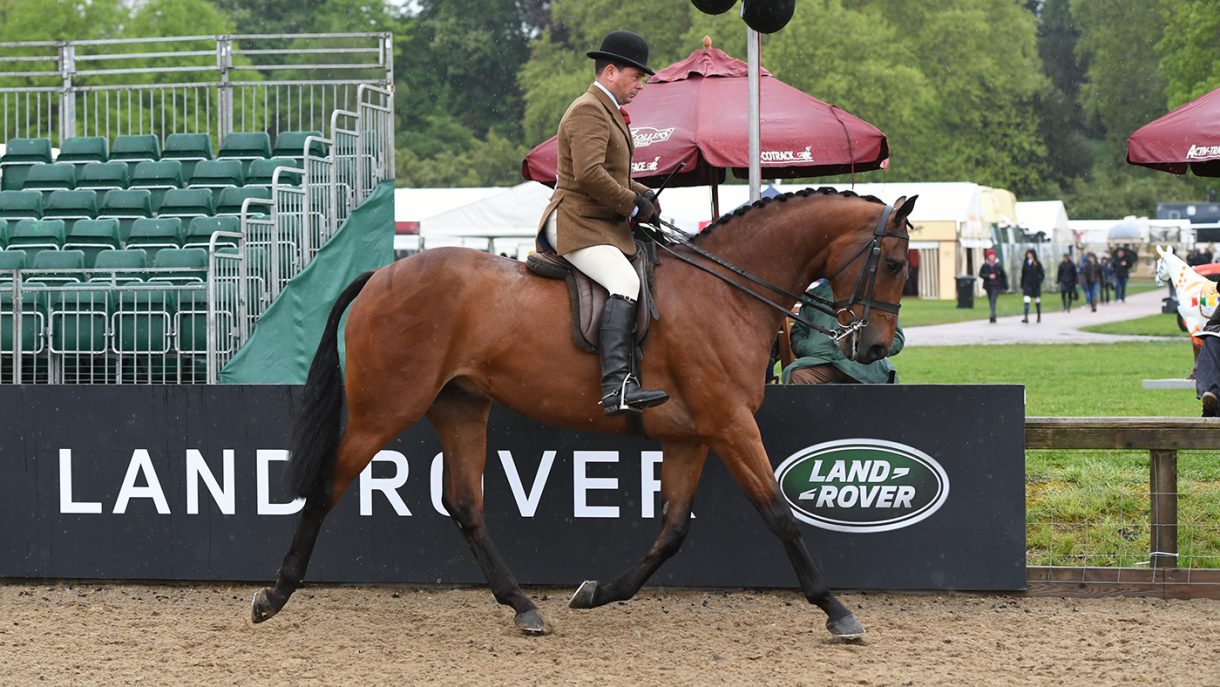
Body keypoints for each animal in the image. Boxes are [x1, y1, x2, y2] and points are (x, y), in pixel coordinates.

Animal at [250, 187, 916, 639]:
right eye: (893, 264)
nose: (875, 348)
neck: (723, 293)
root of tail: (383, 272)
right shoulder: (731, 425)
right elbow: (779, 514)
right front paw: (835, 609)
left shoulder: (692, 436)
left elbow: (672, 531)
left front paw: (596, 592)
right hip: (382, 410)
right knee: (327, 485)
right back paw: (274, 595)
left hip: (460, 407)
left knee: (465, 504)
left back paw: (523, 606)